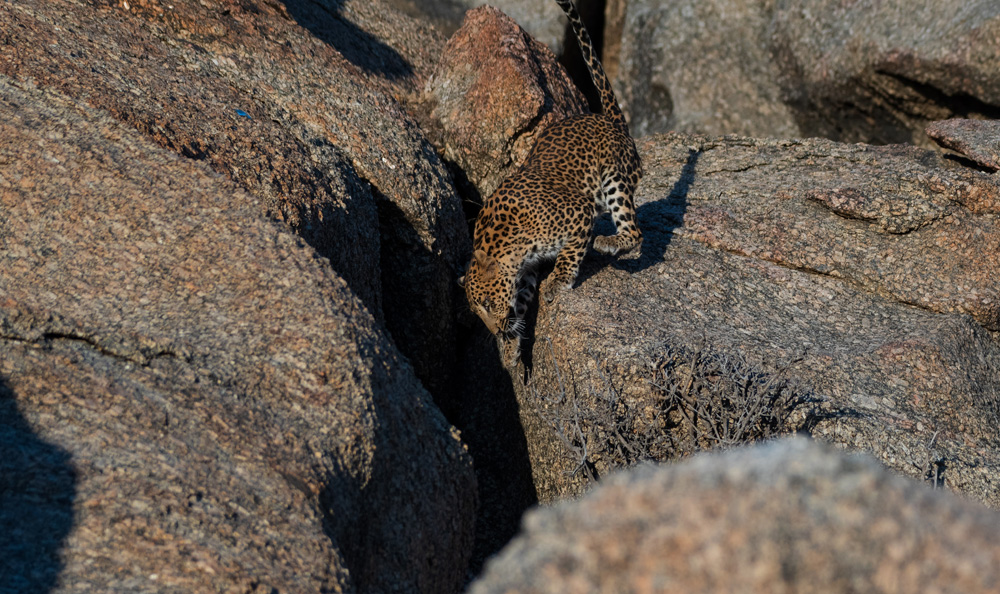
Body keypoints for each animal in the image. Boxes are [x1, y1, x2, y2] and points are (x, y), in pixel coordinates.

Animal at [460, 0, 643, 362]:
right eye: (478, 310)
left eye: (486, 302)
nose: (495, 331)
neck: (507, 244)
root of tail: (610, 121)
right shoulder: (527, 268)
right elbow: (520, 298)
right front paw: (512, 344)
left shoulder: (578, 211)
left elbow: (569, 253)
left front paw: (558, 281)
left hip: (614, 179)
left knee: (635, 233)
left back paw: (609, 242)